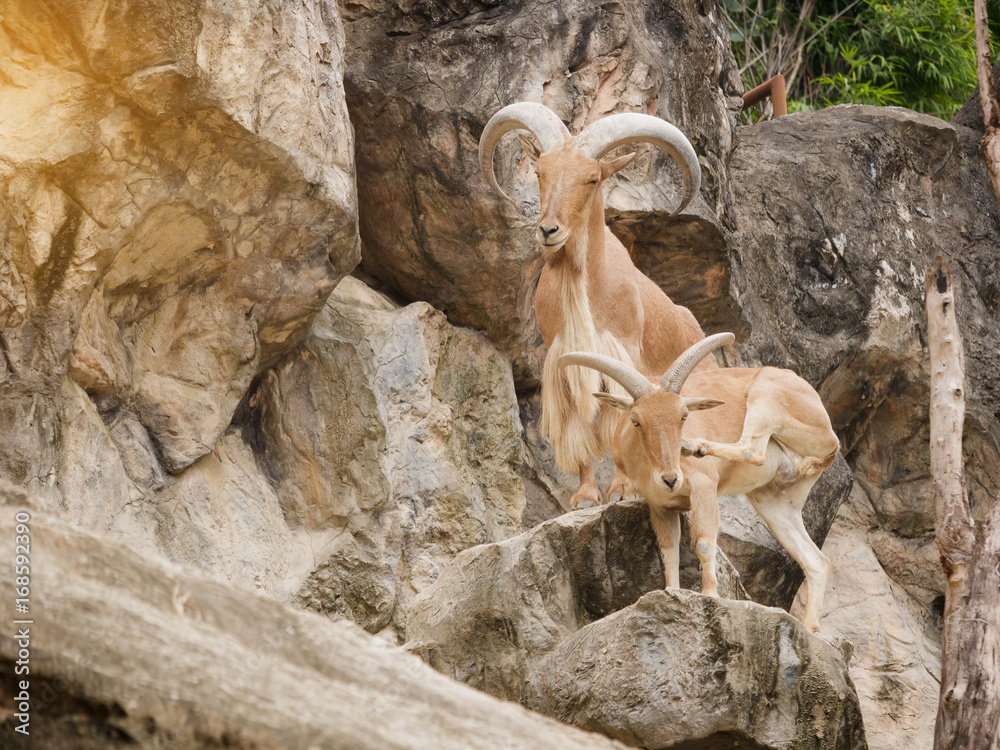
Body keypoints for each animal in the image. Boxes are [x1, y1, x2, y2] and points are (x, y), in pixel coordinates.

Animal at [480, 103, 715, 510]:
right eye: (540, 172)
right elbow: (582, 425)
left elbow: (622, 416)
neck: (586, 292)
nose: (548, 231)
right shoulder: (567, 361)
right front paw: (587, 496)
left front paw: (623, 489)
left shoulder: (622, 354)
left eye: (591, 179)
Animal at [558, 333, 840, 632]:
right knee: (816, 561)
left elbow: (704, 543)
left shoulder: (704, 486)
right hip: (775, 500)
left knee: (751, 449)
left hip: (767, 396)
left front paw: (709, 595)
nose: (671, 479)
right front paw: (671, 593)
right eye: (636, 421)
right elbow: (668, 552)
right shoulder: (660, 507)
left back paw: (695, 446)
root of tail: (831, 436)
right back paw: (810, 627)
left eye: (683, 415)